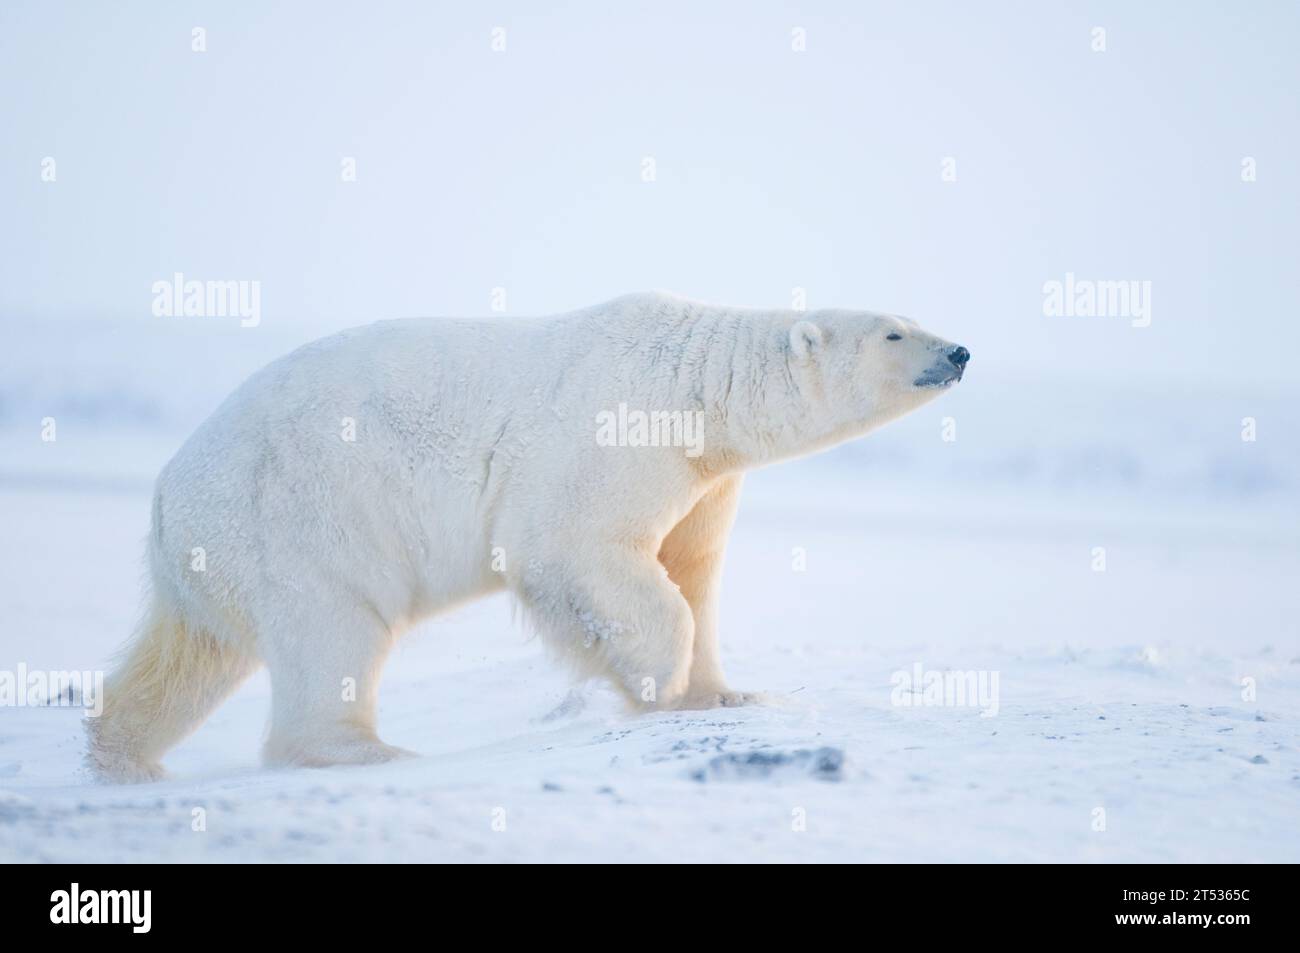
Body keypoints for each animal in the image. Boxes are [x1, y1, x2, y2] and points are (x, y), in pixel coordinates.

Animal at [86, 292, 969, 781]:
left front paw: (722, 691)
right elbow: (576, 547)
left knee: (190, 654)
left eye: (913, 318)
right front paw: (655, 677)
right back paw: (364, 749)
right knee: (331, 632)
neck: (694, 381)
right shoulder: (611, 432)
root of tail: (165, 496)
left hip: (218, 555)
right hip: (296, 522)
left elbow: (692, 568)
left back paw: (126, 756)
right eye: (894, 332)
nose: (960, 348)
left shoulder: (703, 477)